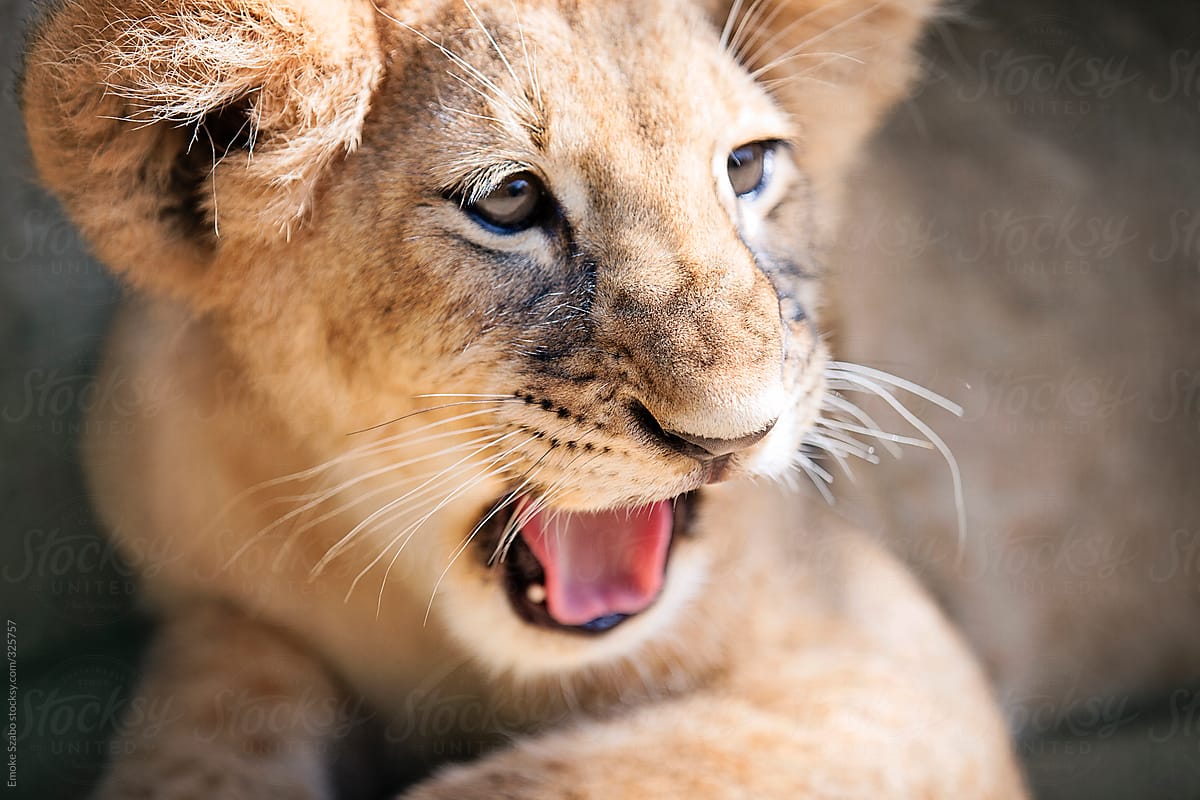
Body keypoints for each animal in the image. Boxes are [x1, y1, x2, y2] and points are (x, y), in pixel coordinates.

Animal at [20, 0, 1027, 797]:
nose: (734, 438)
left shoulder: (890, 668)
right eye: (506, 200)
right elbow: (199, 750)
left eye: (748, 168)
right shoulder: (218, 613)